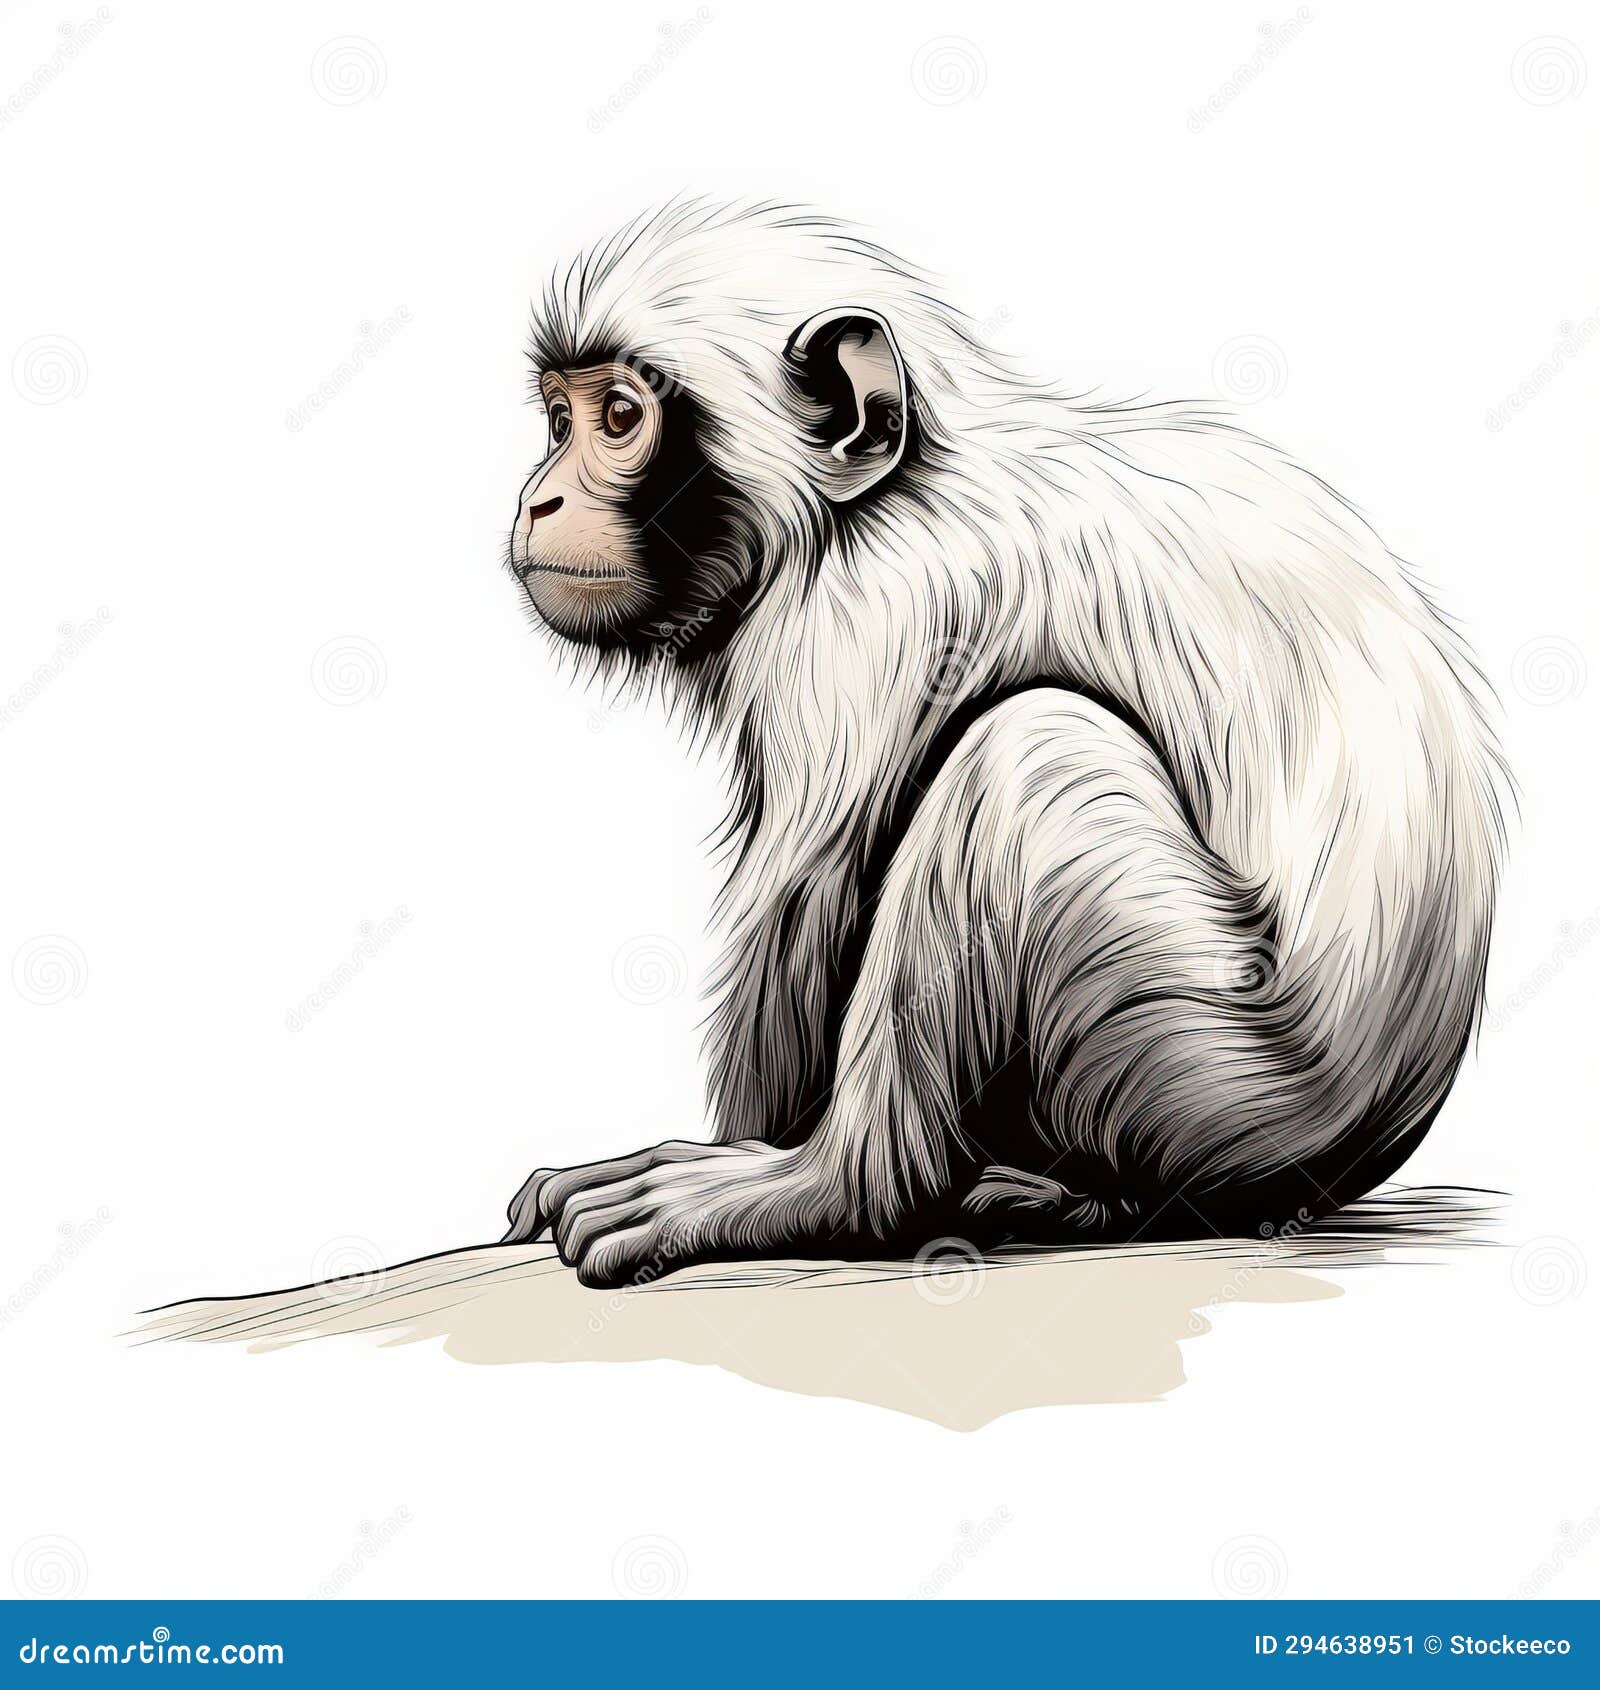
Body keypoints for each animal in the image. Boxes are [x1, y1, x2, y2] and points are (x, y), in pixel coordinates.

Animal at [500, 198, 1507, 1290]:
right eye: (559, 420)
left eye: (619, 419)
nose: (538, 498)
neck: (889, 499)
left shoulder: (867, 621)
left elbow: (811, 895)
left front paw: (754, 1166)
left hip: (1221, 1069)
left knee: (1028, 749)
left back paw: (847, 1189)